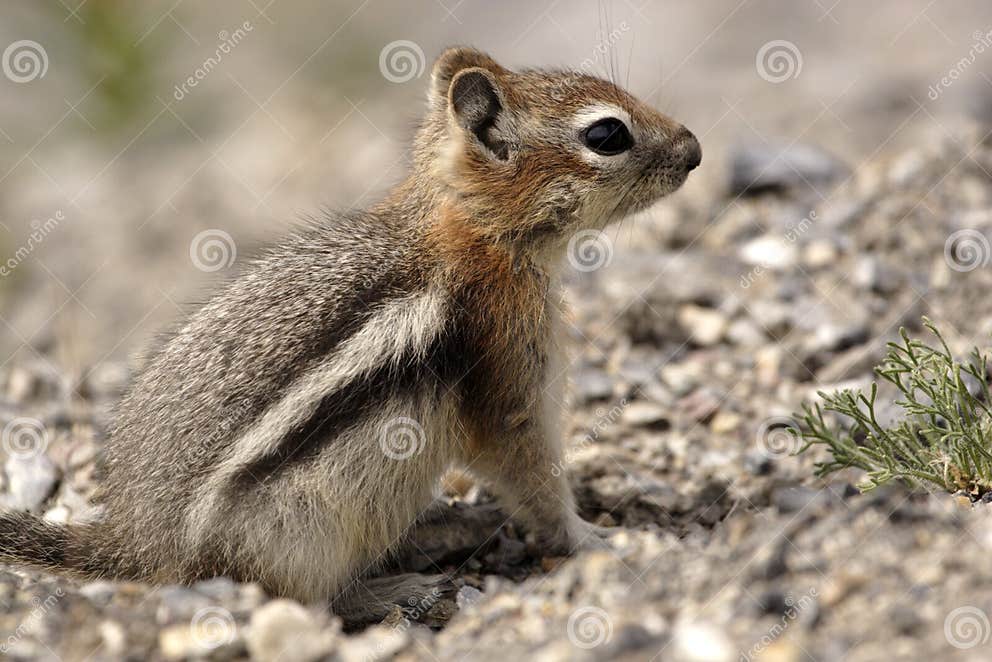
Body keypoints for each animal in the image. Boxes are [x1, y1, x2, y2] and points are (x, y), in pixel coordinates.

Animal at [0, 47, 700, 622]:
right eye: (607, 134)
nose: (694, 149)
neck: (469, 227)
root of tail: (135, 544)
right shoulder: (507, 371)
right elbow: (531, 473)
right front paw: (597, 539)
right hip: (306, 531)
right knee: (301, 599)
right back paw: (396, 588)